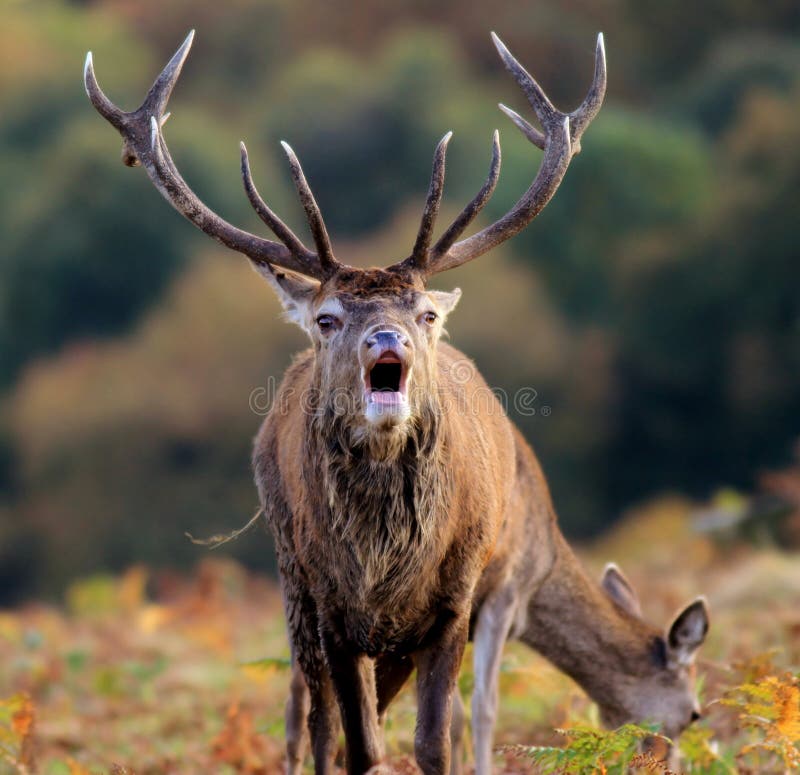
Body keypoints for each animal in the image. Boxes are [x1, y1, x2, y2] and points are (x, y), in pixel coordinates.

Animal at [84, 27, 705, 775]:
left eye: (424, 313)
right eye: (328, 318)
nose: (389, 339)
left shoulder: (457, 600)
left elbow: (441, 735)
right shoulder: (347, 606)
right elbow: (371, 740)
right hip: (291, 576)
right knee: (314, 717)